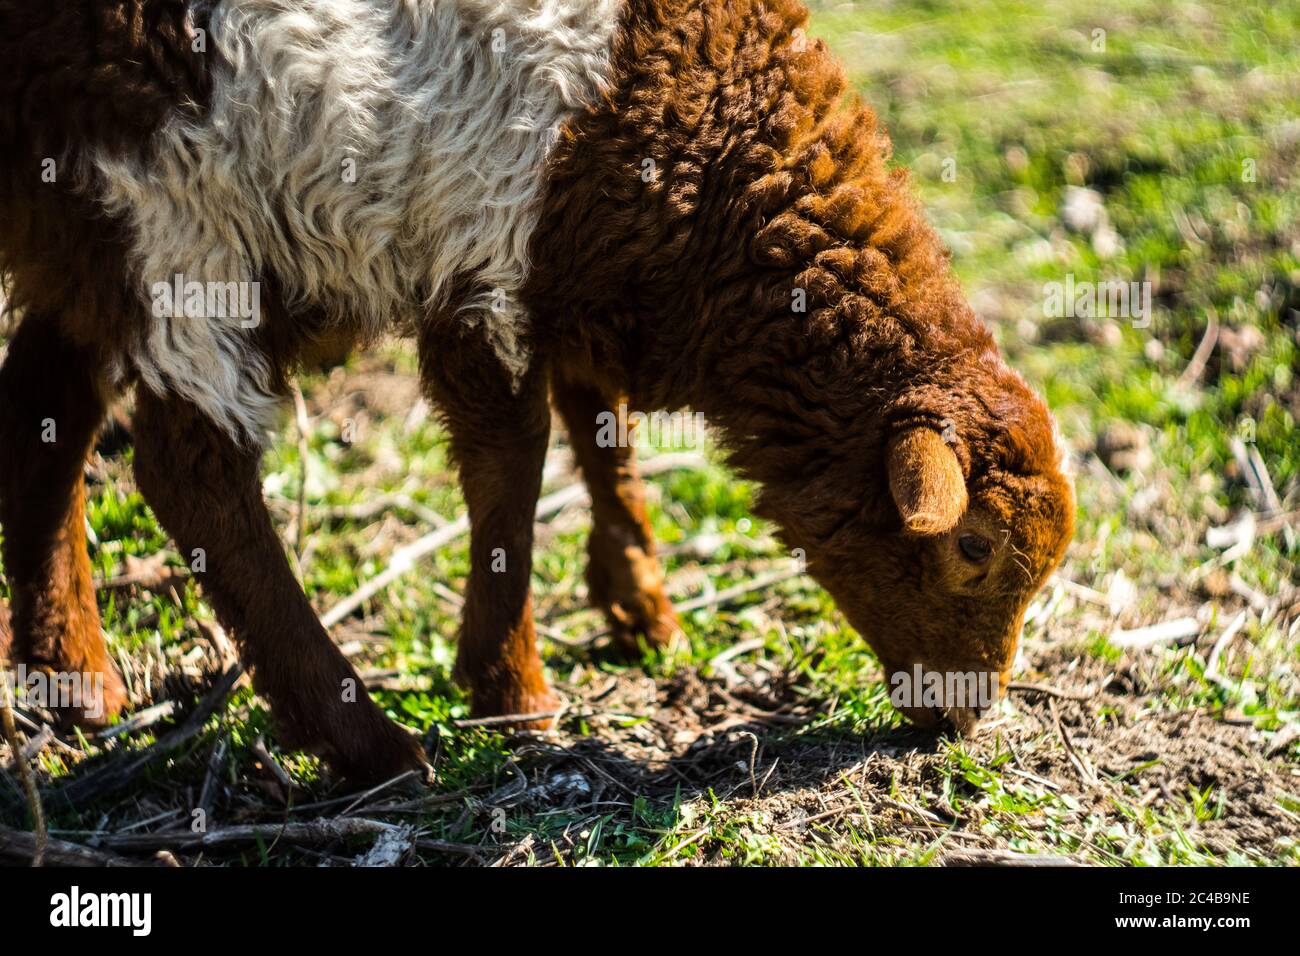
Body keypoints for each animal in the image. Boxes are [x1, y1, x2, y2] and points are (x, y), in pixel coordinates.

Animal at [0, 0, 1074, 781]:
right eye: (973, 547)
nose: (968, 715)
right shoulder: (484, 239)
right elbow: (511, 471)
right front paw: (513, 692)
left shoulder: (581, 269)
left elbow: (604, 428)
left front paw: (639, 605)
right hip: (178, 194)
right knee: (191, 470)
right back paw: (369, 745)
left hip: (88, 213)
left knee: (47, 406)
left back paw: (70, 676)